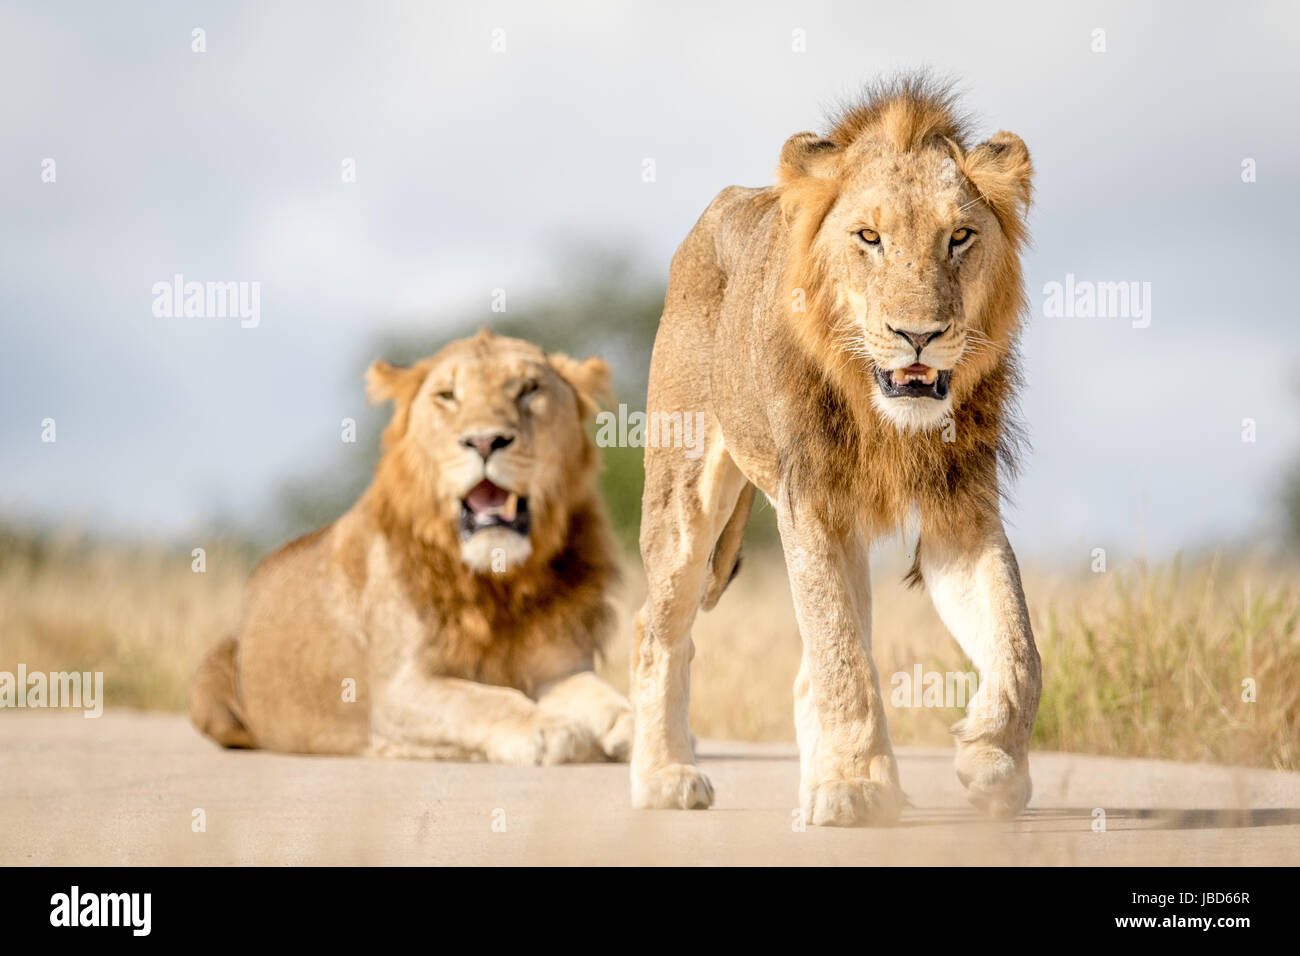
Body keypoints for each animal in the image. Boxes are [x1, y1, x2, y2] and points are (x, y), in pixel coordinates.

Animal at [190, 330, 634, 765]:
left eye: (529, 389)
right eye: (448, 395)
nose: (485, 441)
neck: (499, 582)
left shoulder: (559, 667)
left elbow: (603, 698)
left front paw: (636, 728)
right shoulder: (396, 692)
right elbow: (480, 701)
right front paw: (547, 727)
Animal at [631, 76, 1042, 825]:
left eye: (960, 236)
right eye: (869, 238)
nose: (918, 334)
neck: (886, 417)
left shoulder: (961, 511)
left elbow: (1019, 647)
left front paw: (992, 762)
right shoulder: (811, 505)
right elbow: (841, 656)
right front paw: (854, 787)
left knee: (809, 670)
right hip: (682, 502)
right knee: (658, 630)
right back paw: (666, 778)